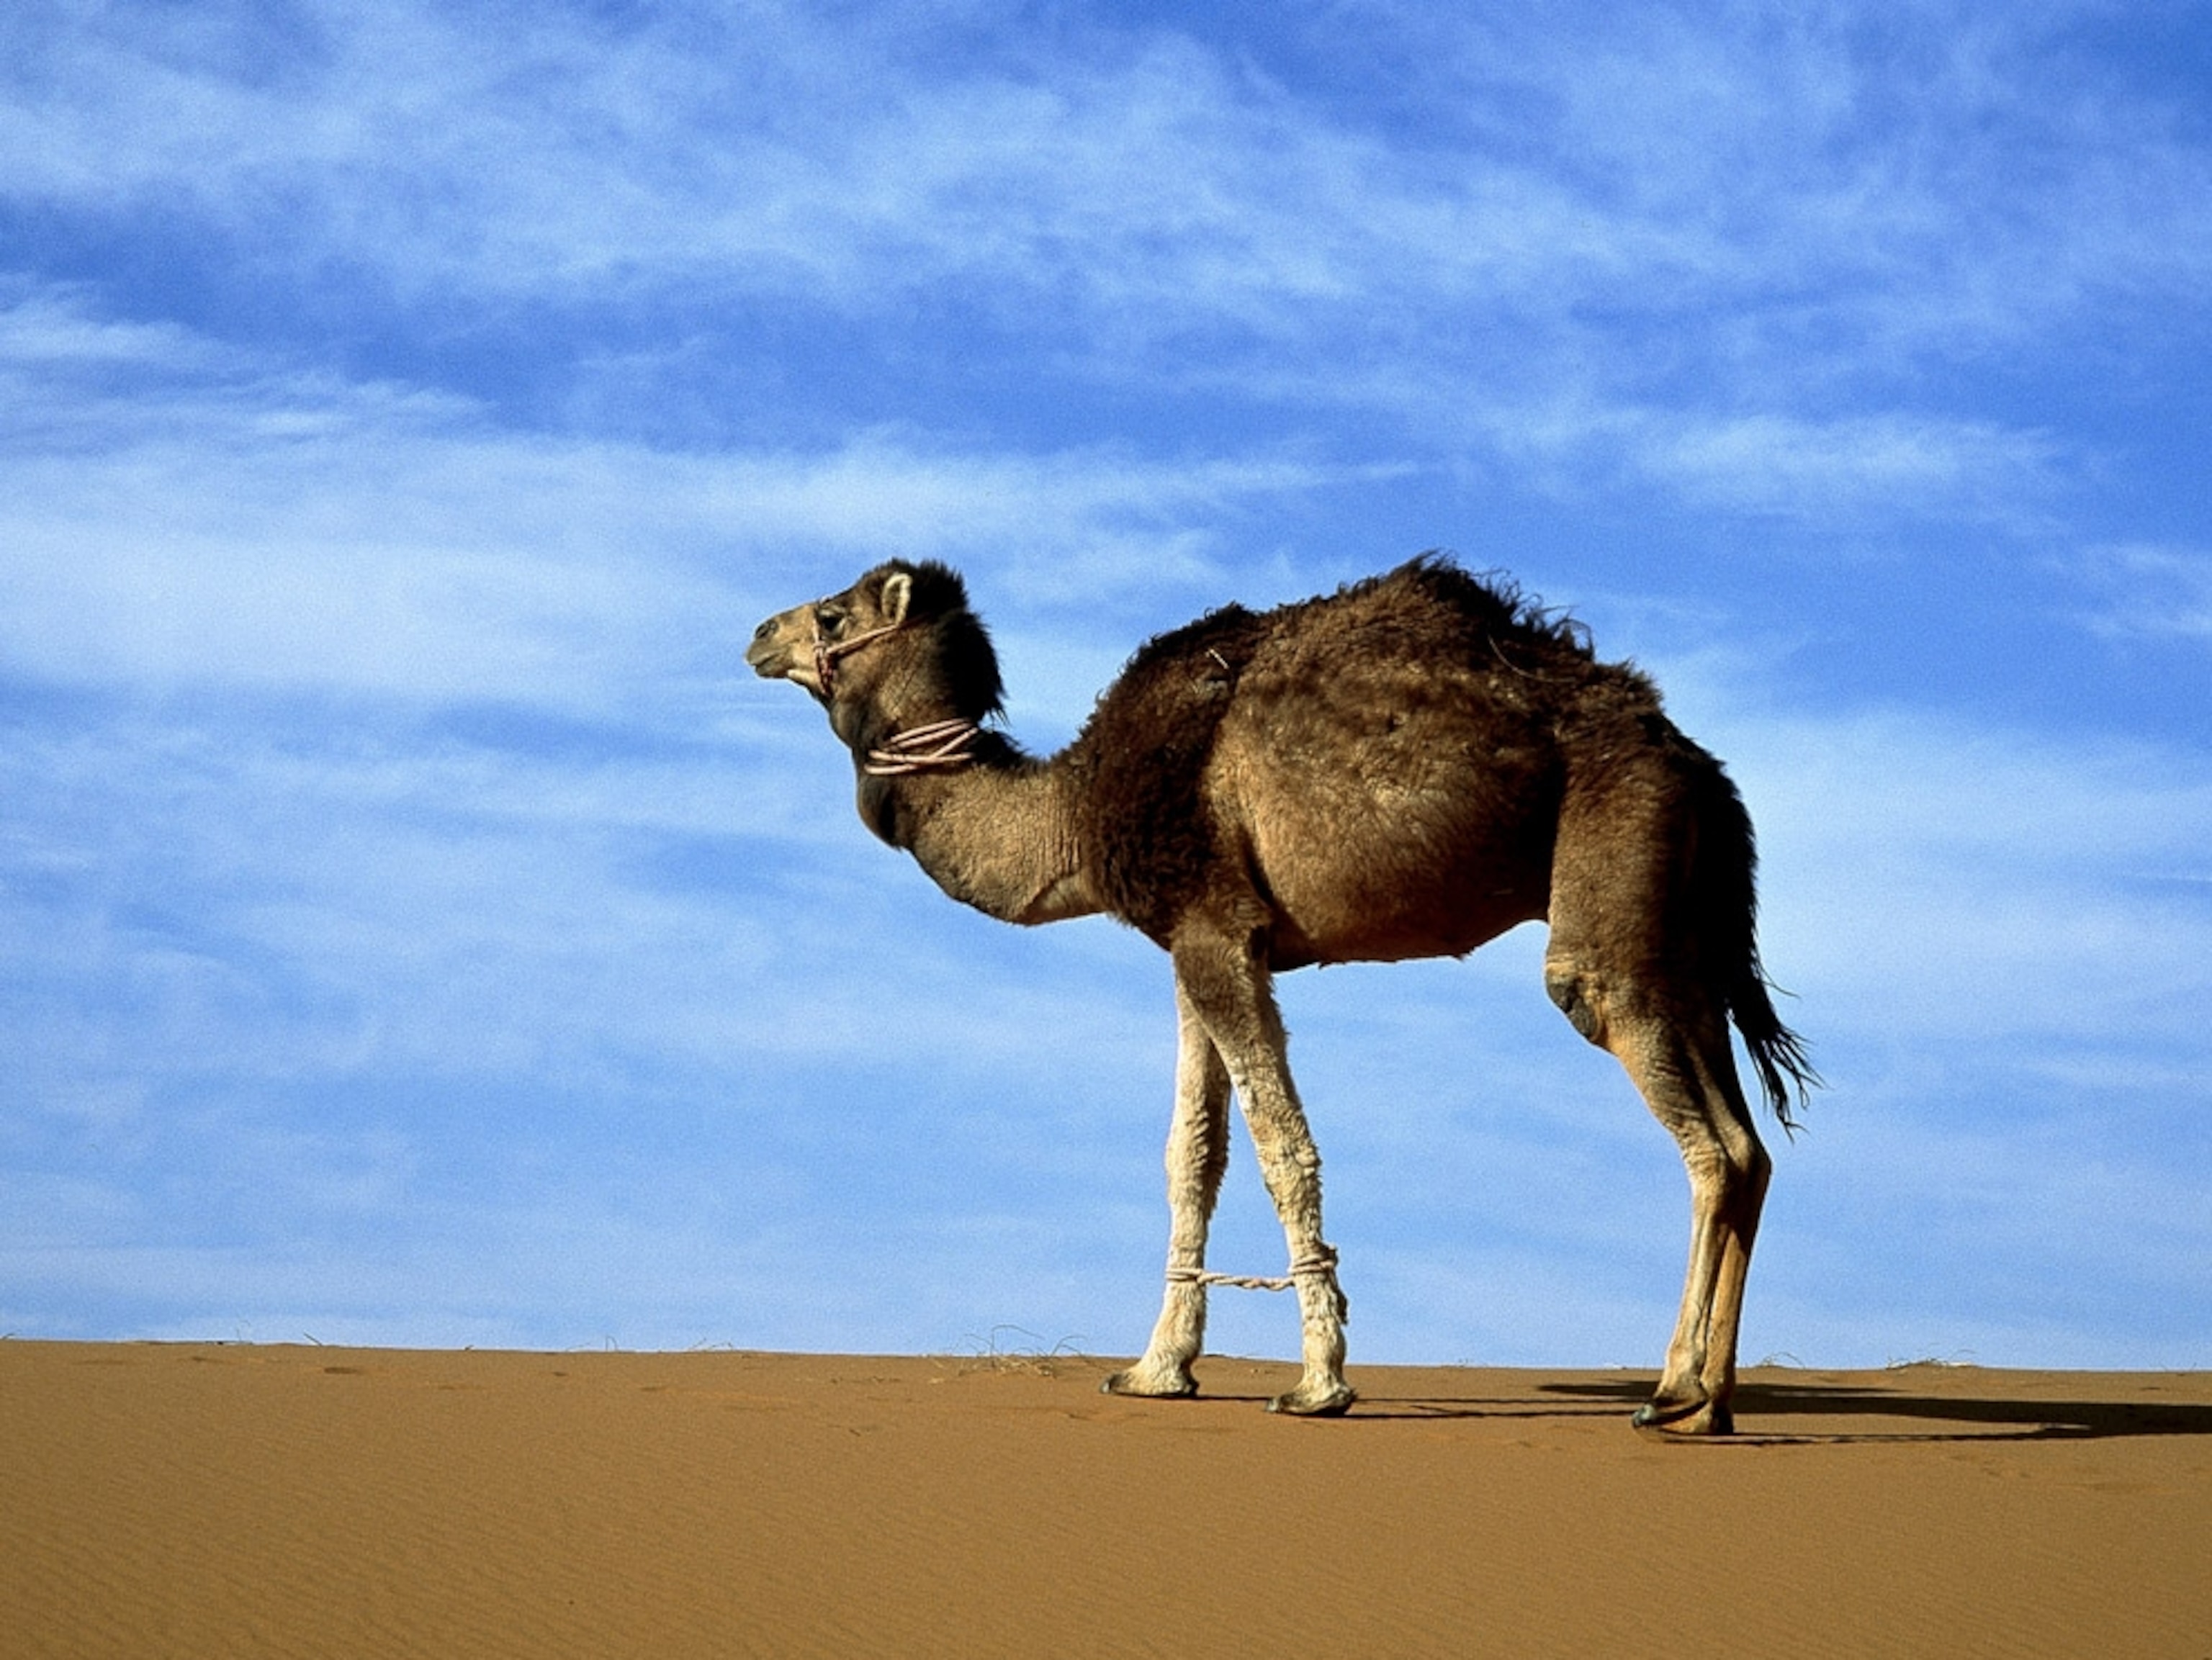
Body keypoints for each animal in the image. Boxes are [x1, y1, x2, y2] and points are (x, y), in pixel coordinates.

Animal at [746, 555, 1813, 1432]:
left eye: (834, 614)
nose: (759, 634)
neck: (1073, 814)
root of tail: (1695, 762)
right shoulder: (1198, 939)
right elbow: (1192, 1156)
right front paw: (1156, 1369)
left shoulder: (1216, 927)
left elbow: (1280, 1147)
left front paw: (1318, 1382)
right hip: (1682, 928)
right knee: (1751, 1144)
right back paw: (1712, 1403)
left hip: (1615, 854)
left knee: (1696, 1125)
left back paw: (1670, 1389)